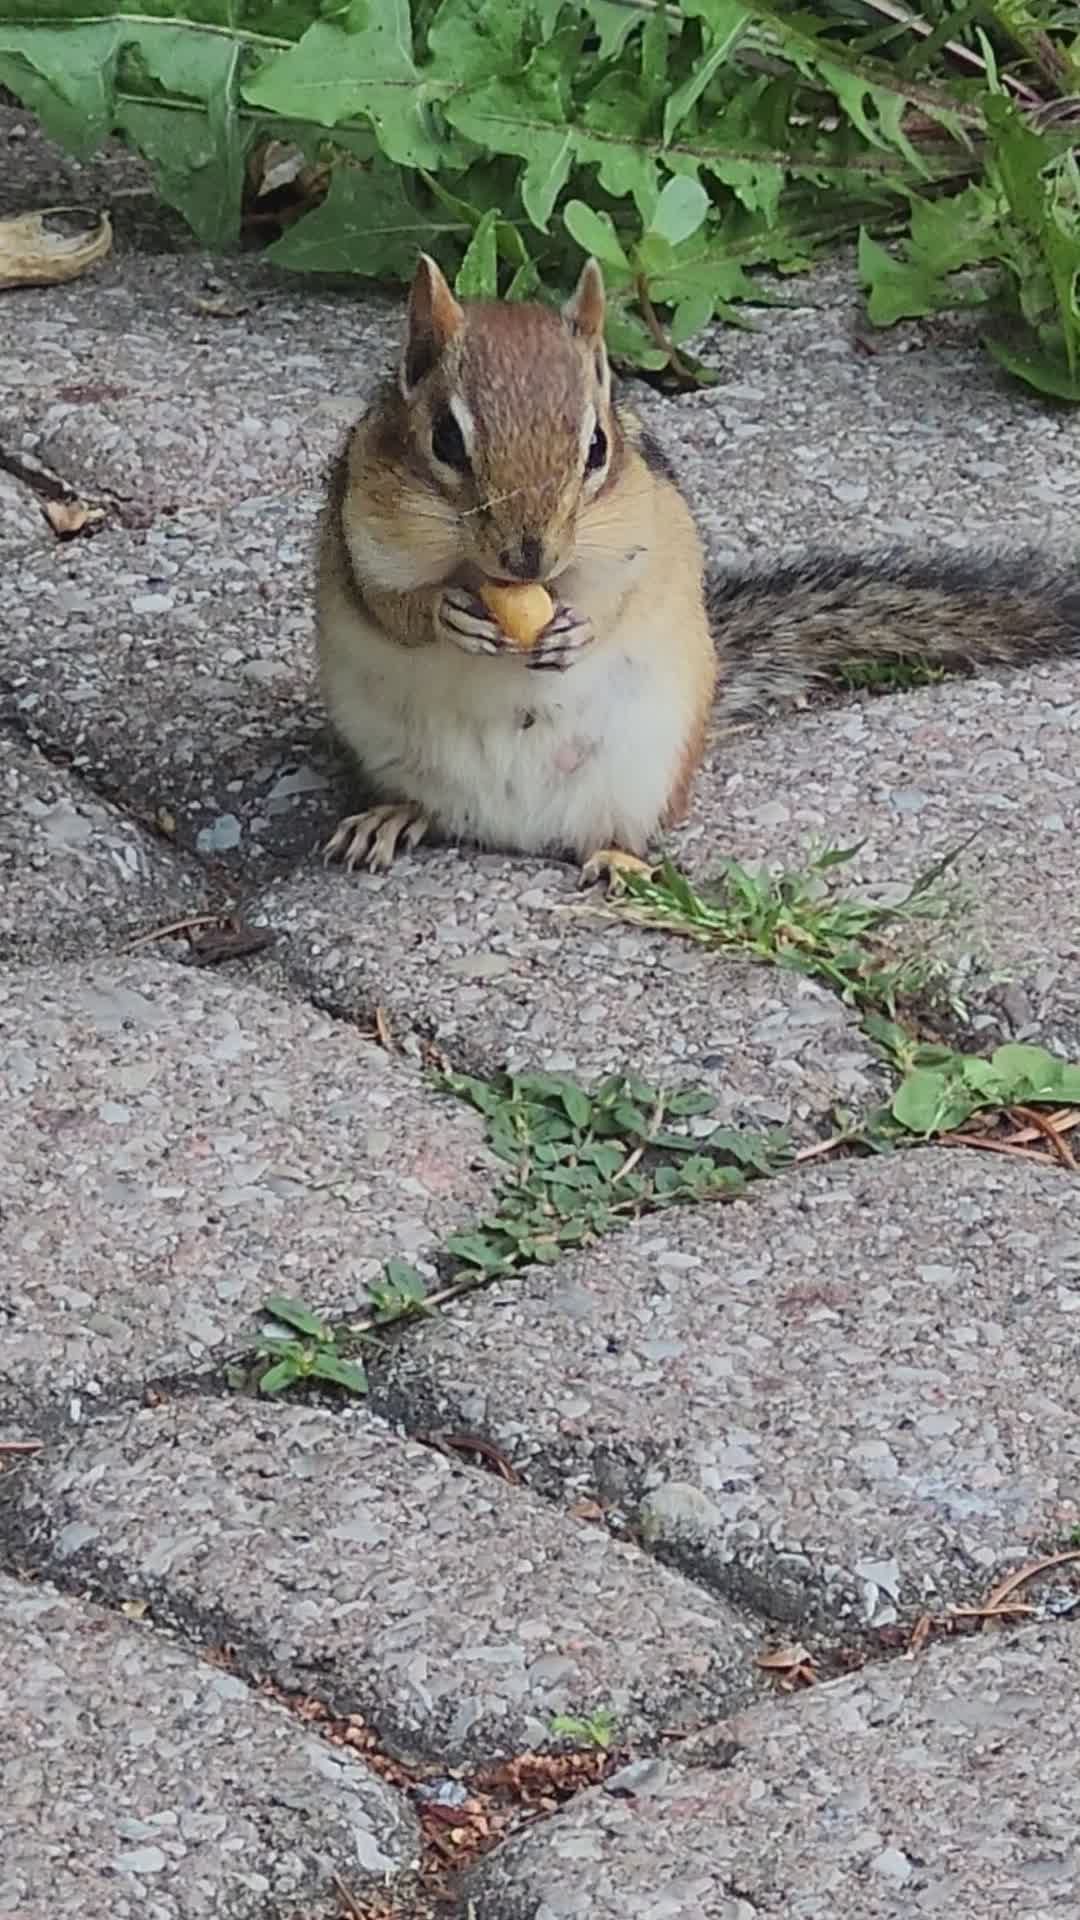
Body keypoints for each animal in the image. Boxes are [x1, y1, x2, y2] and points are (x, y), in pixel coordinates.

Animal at [316, 252, 1080, 882]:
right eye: (445, 440)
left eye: (598, 446)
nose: (529, 555)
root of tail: (510, 832)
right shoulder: (359, 529)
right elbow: (388, 603)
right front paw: (450, 613)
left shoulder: (640, 530)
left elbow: (619, 594)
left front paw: (576, 627)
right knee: (426, 805)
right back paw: (391, 817)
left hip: (647, 769)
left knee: (615, 830)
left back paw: (619, 862)